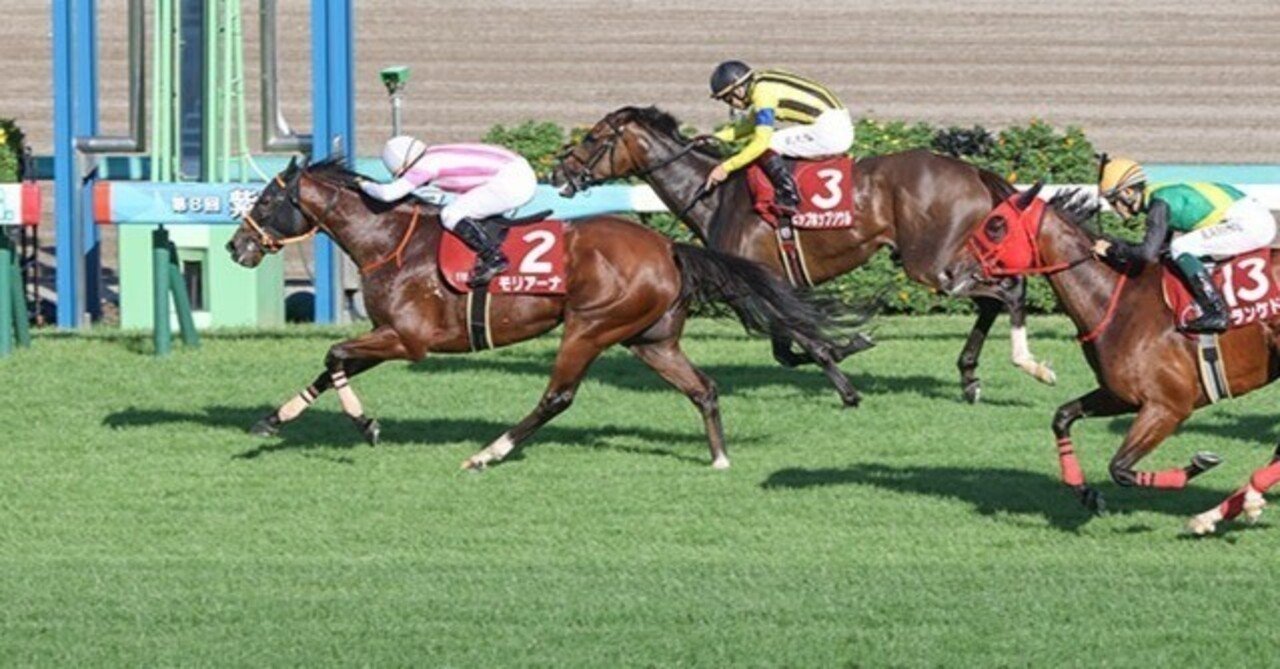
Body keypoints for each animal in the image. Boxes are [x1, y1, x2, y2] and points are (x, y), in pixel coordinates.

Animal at [226, 157, 858, 471]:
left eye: (265, 199)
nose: (236, 247)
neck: (389, 242)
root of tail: (667, 246)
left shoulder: (408, 339)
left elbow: (334, 354)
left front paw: (366, 424)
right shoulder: (388, 334)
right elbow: (328, 365)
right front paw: (272, 420)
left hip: (590, 325)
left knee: (557, 396)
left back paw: (488, 453)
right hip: (651, 339)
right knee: (703, 387)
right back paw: (720, 458)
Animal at [551, 106, 1056, 405]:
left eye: (594, 137)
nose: (559, 171)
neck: (717, 195)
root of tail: (971, 170)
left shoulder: (751, 284)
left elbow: (798, 338)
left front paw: (847, 385)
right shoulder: (768, 284)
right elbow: (787, 346)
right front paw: (849, 344)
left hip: (930, 261)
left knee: (1008, 289)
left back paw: (1029, 363)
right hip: (947, 259)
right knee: (992, 298)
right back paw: (969, 377)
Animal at [940, 186, 1280, 534]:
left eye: (996, 225)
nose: (949, 271)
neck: (1115, 302)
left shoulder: (1168, 407)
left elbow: (1120, 468)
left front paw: (1198, 464)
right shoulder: (1122, 396)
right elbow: (1062, 418)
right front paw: (1086, 493)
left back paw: (1239, 502)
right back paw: (1222, 511)